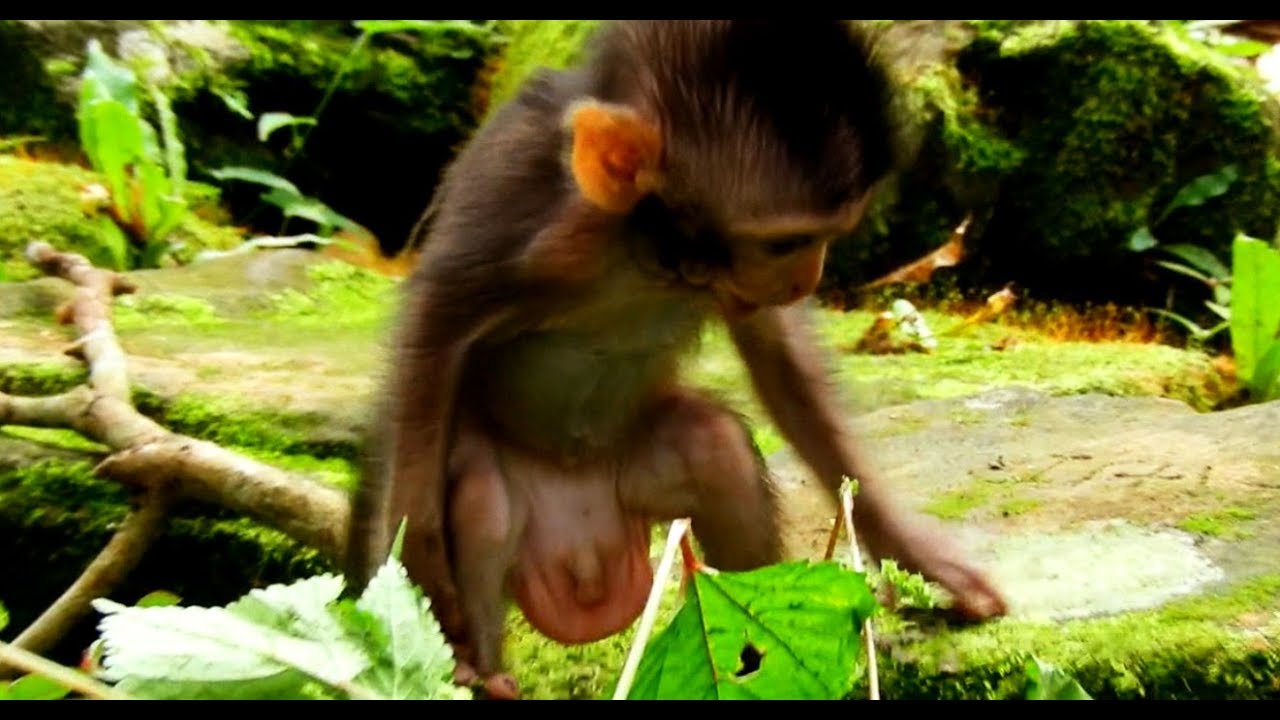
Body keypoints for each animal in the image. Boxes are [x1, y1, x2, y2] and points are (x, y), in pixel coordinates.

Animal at [345, 20, 1008, 699]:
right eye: (787, 242)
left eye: (831, 235)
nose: (808, 277)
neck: (641, 247)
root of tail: (581, 547)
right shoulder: (521, 209)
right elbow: (433, 331)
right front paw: (421, 577)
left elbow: (783, 362)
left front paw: (918, 555)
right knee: (480, 497)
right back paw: (483, 671)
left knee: (713, 449)